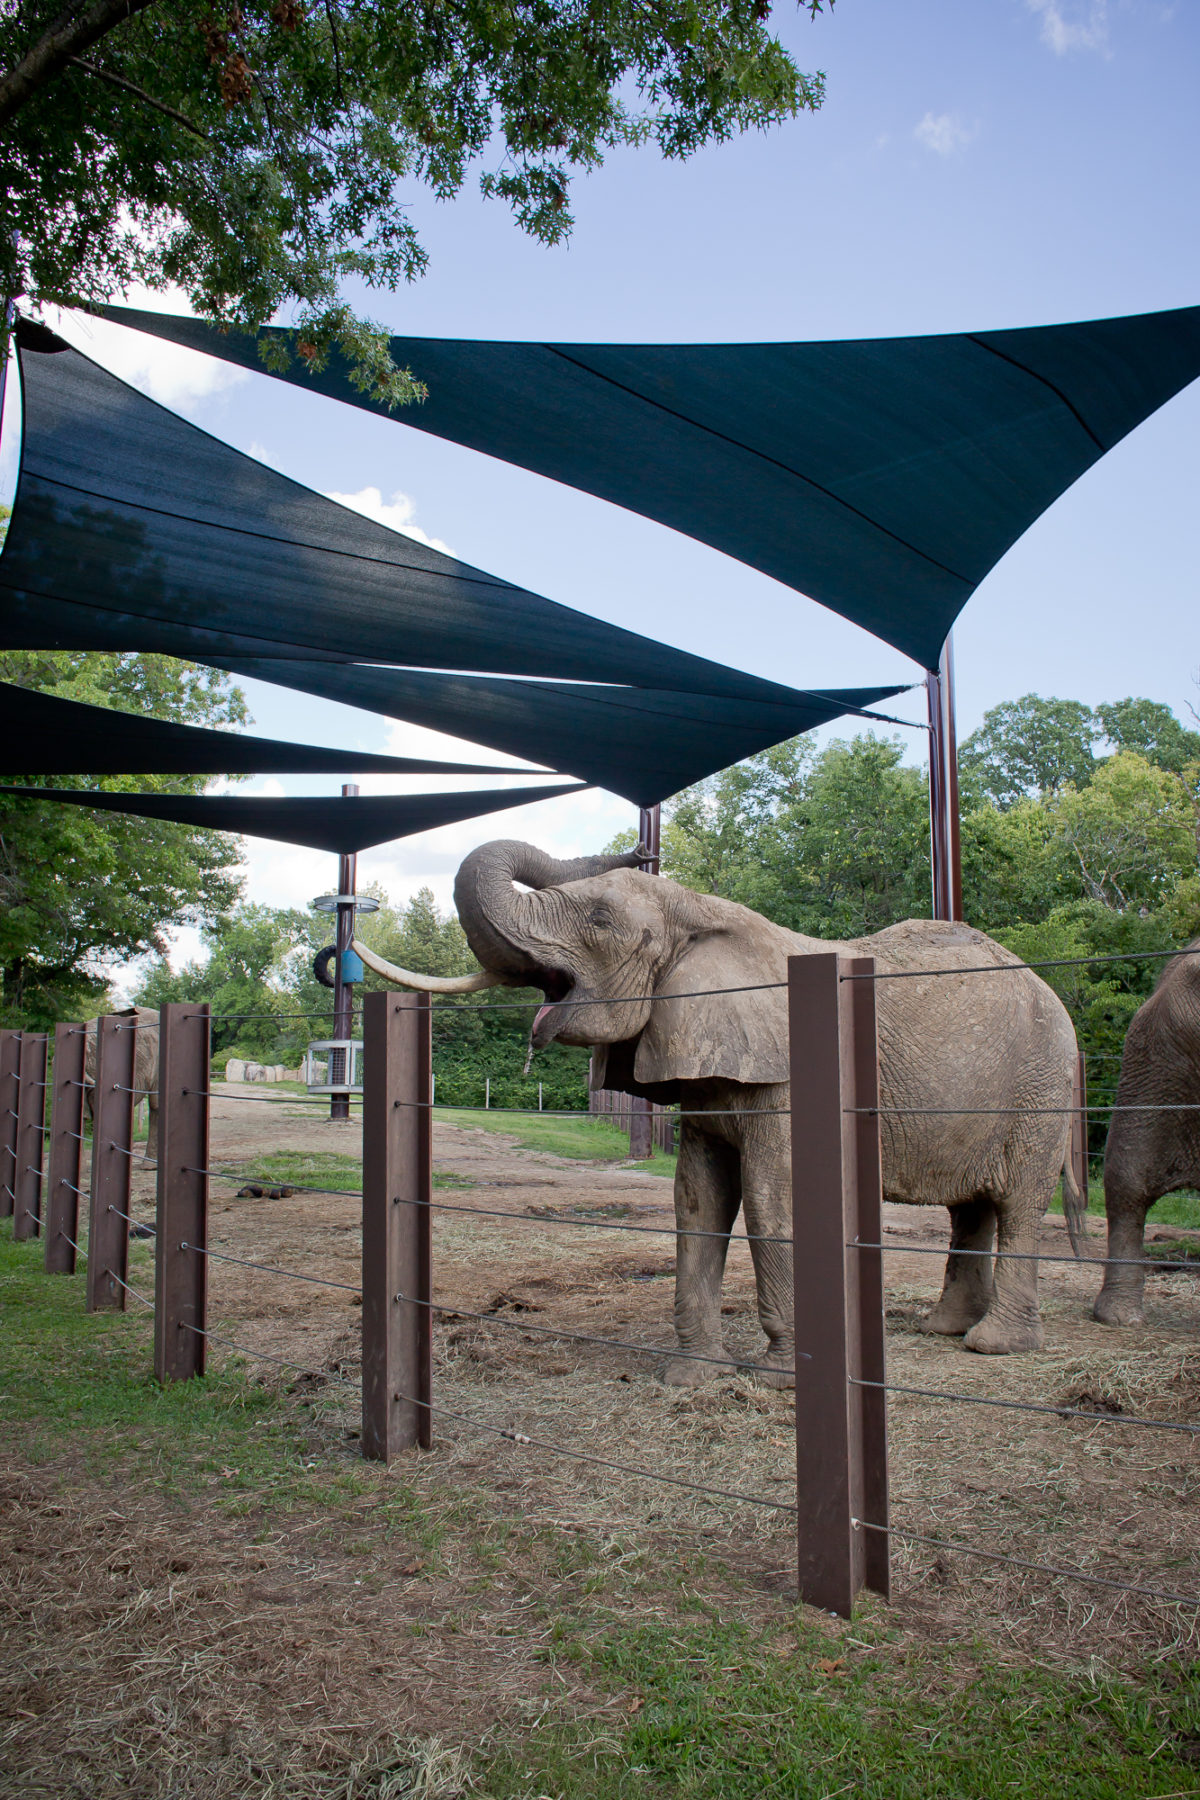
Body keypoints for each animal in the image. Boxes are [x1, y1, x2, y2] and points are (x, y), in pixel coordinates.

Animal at [354, 842, 1082, 1371]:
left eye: (599, 923)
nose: (640, 848)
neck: (702, 913)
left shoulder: (784, 1068)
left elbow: (771, 1198)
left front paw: (781, 1376)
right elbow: (697, 1200)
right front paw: (693, 1376)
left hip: (1041, 1085)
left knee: (1019, 1205)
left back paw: (993, 1346)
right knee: (972, 1208)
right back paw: (943, 1329)